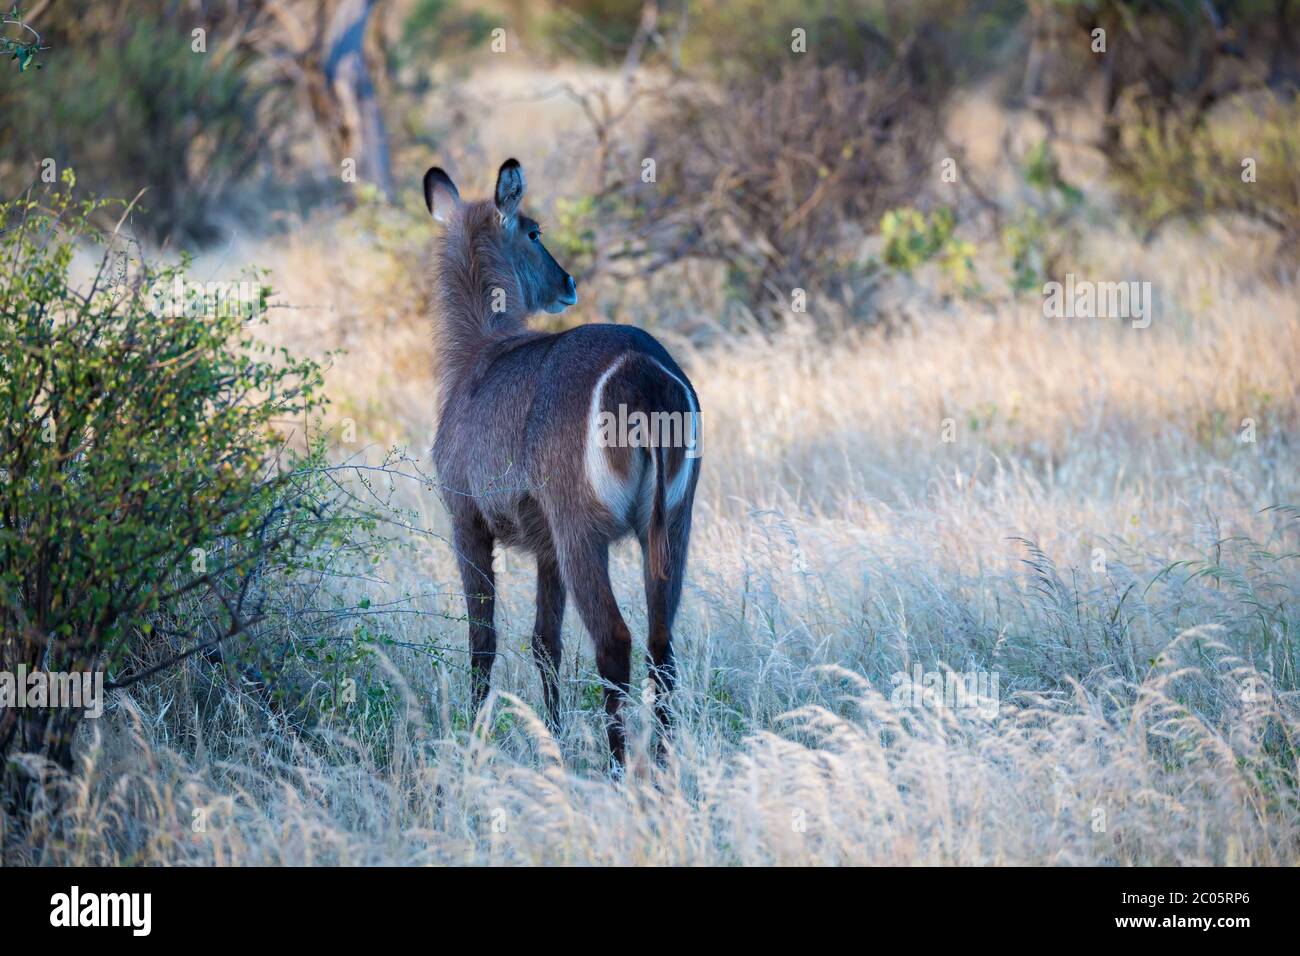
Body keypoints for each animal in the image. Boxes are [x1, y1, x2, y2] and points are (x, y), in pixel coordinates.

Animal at [424, 159, 700, 766]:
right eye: (535, 233)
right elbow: (544, 643)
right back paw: (663, 763)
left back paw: (621, 767)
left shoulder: (466, 520)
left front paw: (473, 739)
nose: (569, 283)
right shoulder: (545, 543)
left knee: (615, 641)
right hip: (672, 525)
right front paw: (551, 737)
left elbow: (483, 641)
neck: (476, 356)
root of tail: (641, 370)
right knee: (661, 643)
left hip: (584, 531)